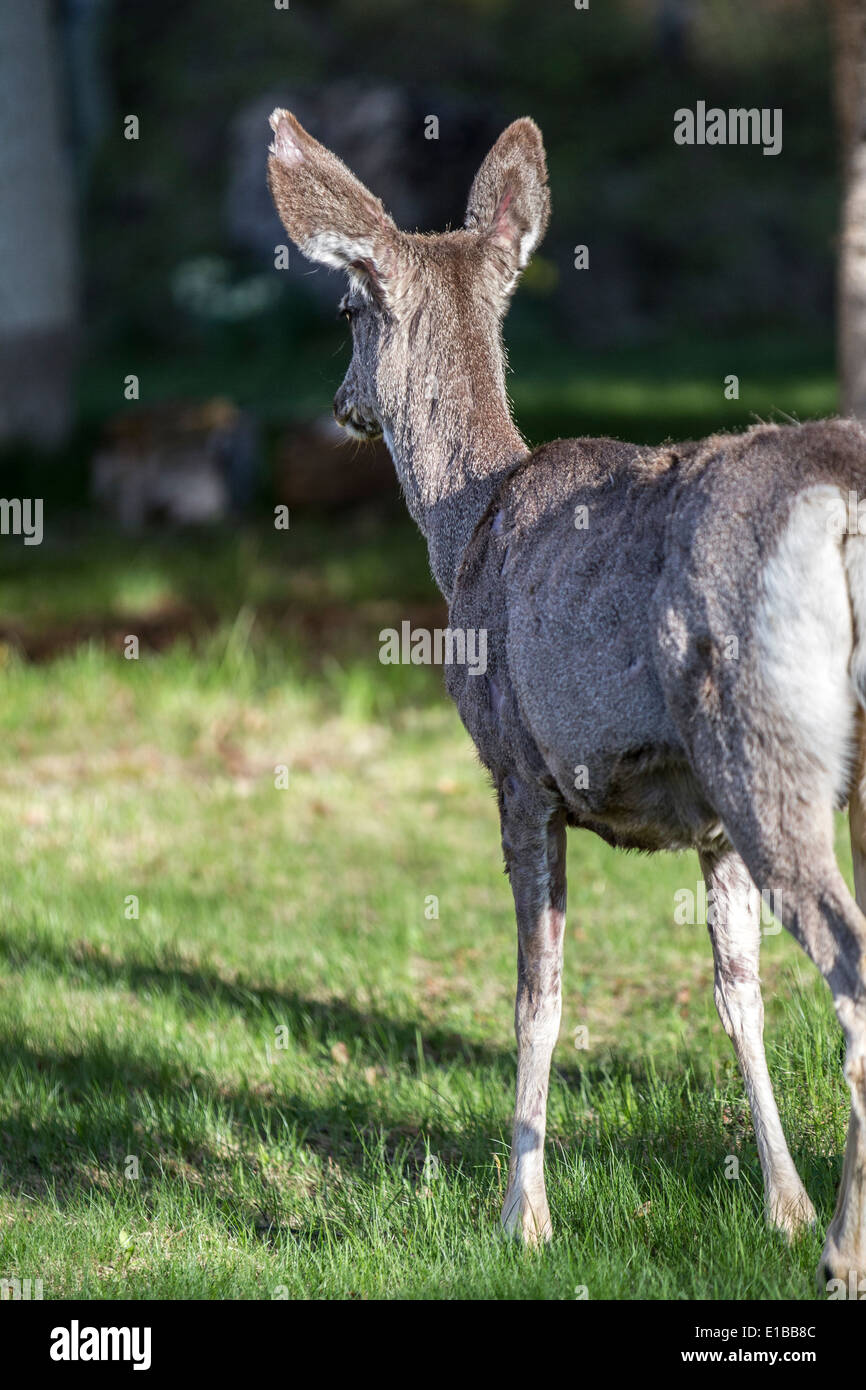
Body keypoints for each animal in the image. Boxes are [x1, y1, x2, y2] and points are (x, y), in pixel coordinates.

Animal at [267, 107, 866, 1290]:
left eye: (347, 308)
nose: (338, 406)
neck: (469, 523)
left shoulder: (516, 768)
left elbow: (535, 1000)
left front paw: (523, 1217)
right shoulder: (704, 821)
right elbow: (737, 994)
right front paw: (779, 1203)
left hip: (763, 738)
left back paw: (841, 1257)